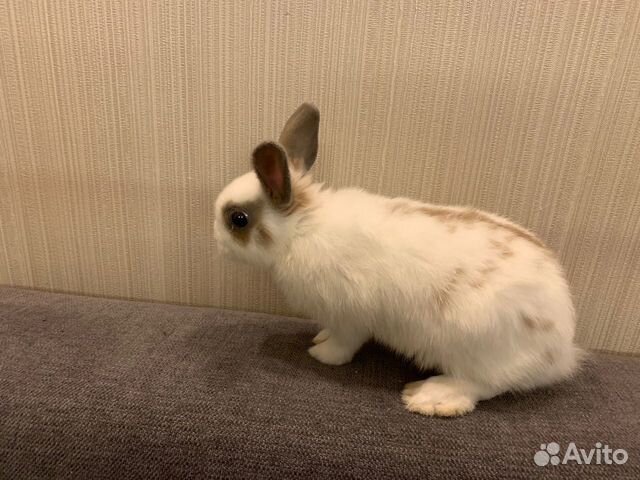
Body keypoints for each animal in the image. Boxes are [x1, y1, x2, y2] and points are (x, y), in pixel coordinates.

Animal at [214, 103, 582, 417]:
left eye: (238, 220)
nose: (215, 241)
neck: (300, 228)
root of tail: (560, 348)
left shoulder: (350, 315)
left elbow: (344, 343)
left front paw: (321, 355)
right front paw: (319, 338)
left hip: (478, 346)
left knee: (484, 384)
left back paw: (430, 397)